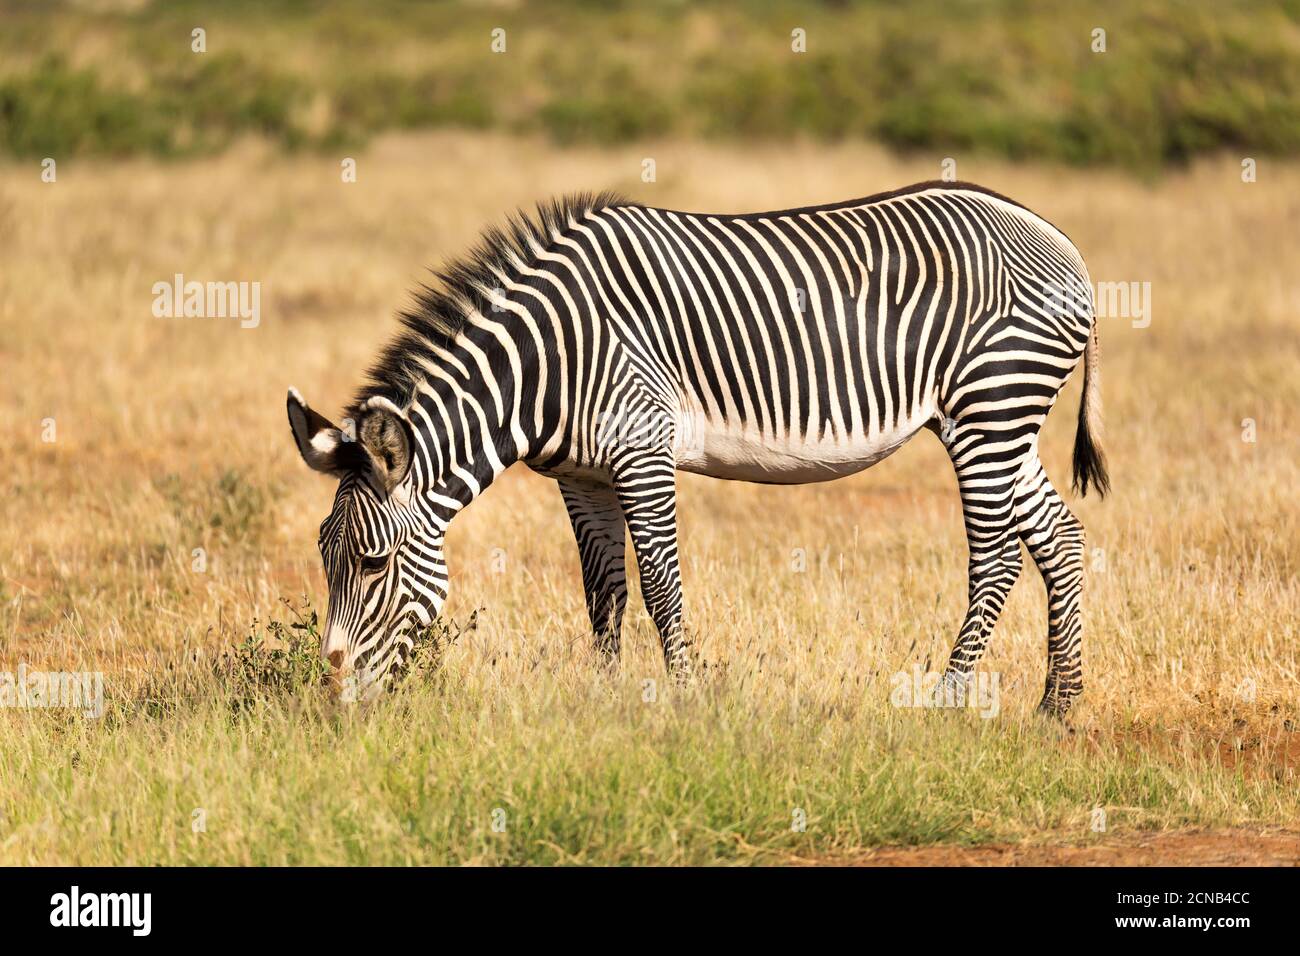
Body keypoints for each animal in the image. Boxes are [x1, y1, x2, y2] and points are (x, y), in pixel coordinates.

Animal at [287, 182, 1107, 715]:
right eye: (324, 557)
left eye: (372, 564)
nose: (338, 701)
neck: (547, 362)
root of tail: (1055, 235)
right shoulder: (582, 477)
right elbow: (604, 591)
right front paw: (606, 704)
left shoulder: (642, 452)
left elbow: (660, 587)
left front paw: (681, 707)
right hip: (1000, 419)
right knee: (1060, 536)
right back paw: (1057, 707)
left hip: (990, 408)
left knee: (997, 558)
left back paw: (944, 703)